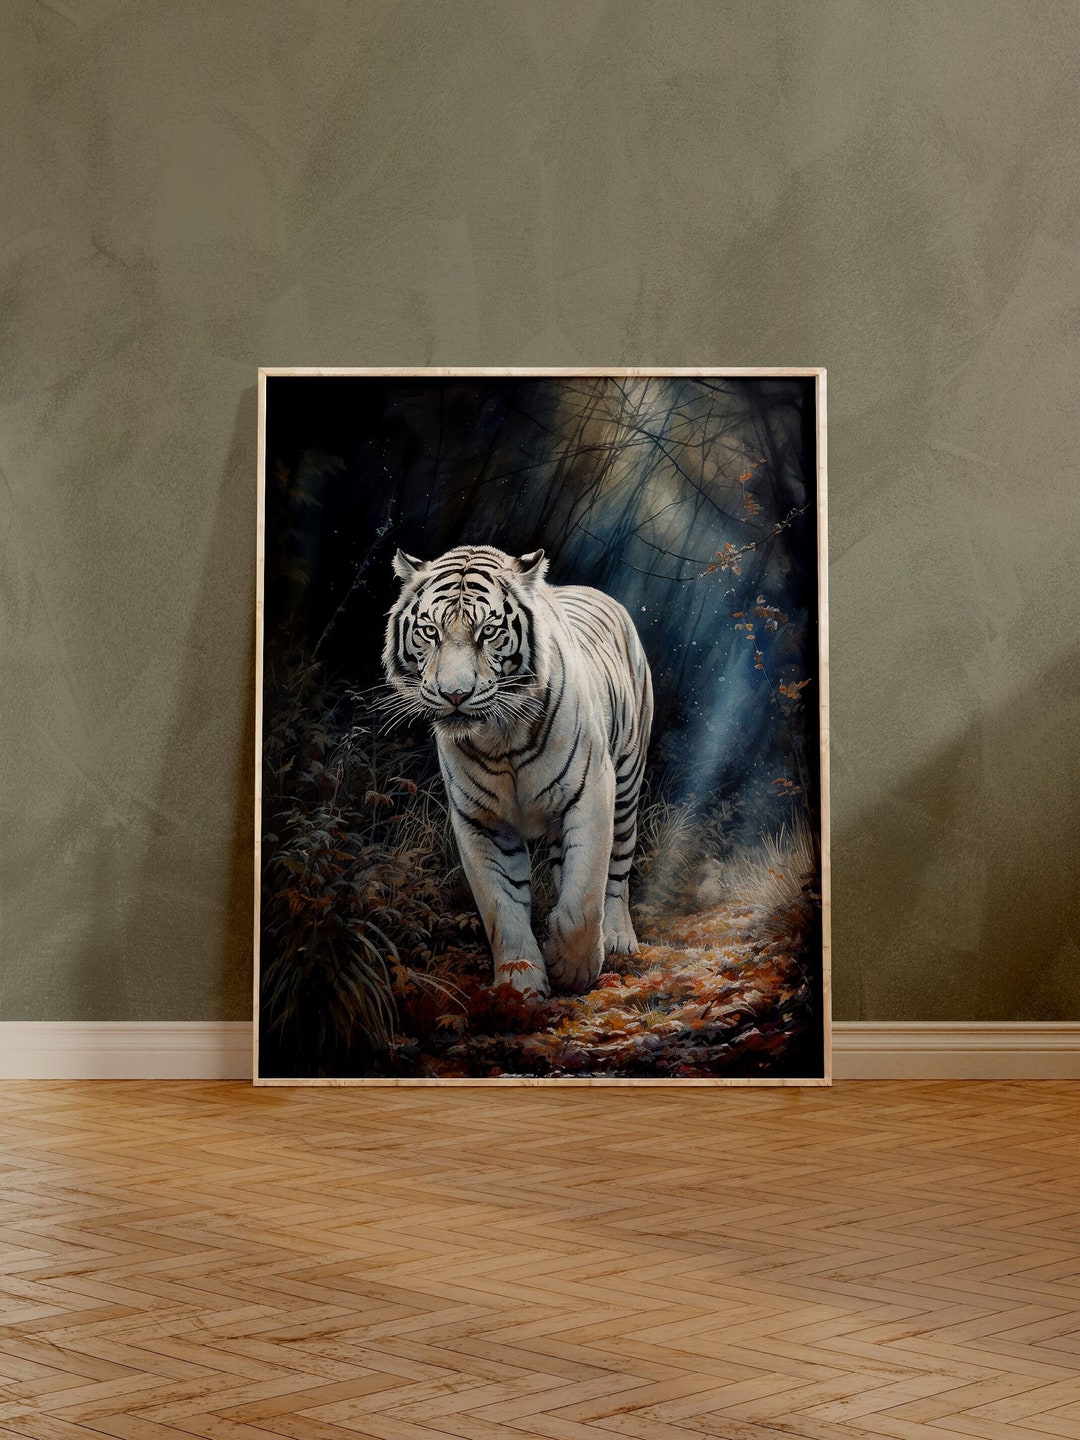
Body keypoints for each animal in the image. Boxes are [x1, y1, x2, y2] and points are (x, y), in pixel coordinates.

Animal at [382, 544, 653, 996]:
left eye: (487, 632)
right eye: (430, 632)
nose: (455, 695)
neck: (500, 737)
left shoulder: (591, 794)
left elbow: (584, 896)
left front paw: (572, 969)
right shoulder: (481, 820)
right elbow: (501, 906)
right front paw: (520, 983)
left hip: (627, 784)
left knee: (616, 870)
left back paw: (617, 937)